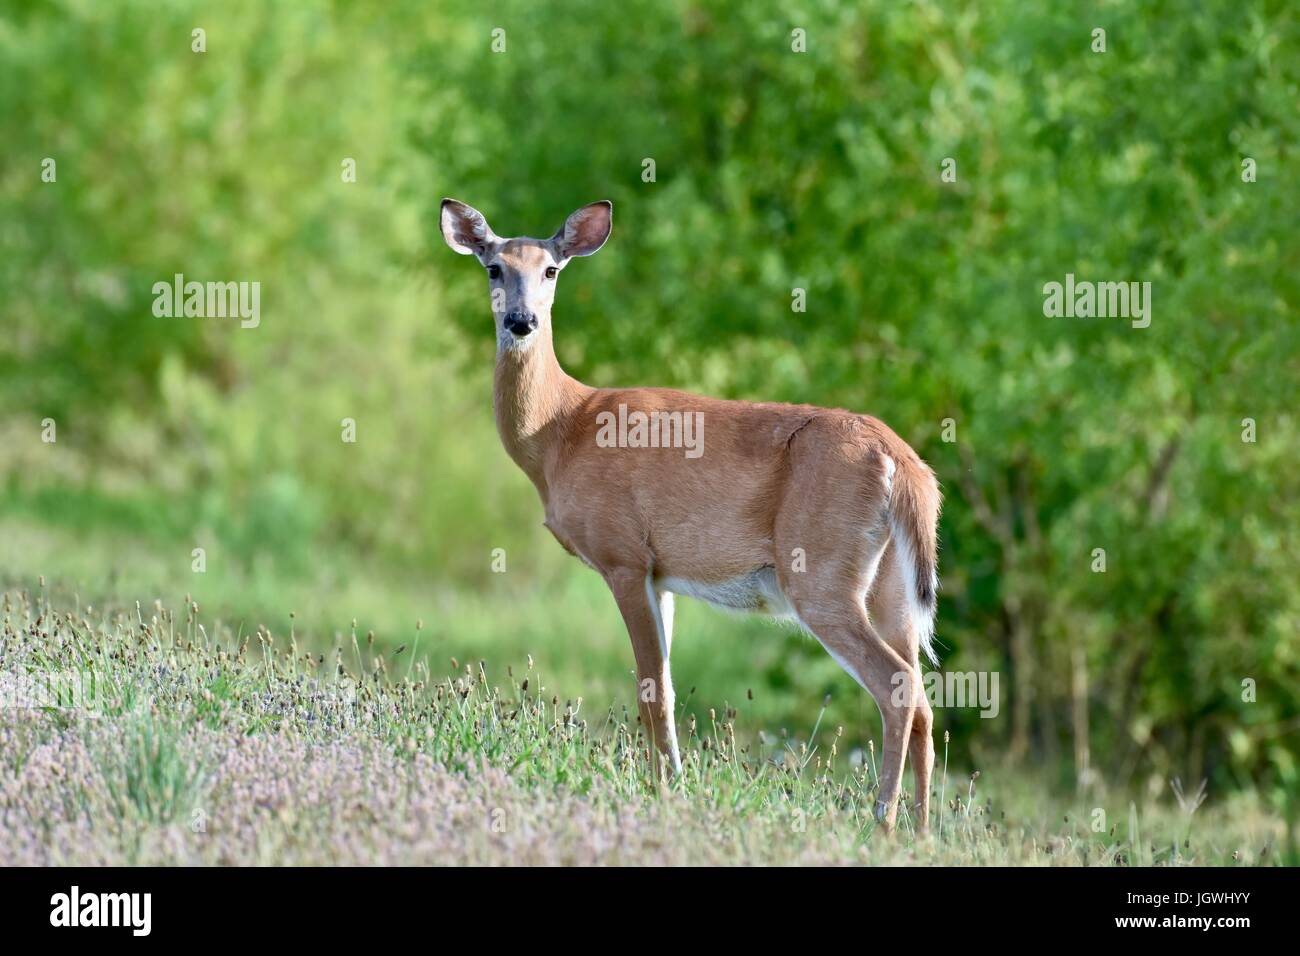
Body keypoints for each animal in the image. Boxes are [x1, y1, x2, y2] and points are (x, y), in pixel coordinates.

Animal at [441, 198, 942, 831]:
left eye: (550, 269)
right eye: (494, 268)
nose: (521, 321)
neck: (559, 431)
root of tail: (904, 465)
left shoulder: (623, 555)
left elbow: (650, 687)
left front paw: (664, 793)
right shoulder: (662, 574)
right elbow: (671, 687)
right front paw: (672, 785)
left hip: (821, 572)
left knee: (898, 686)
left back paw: (883, 823)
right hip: (894, 589)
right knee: (923, 693)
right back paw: (921, 832)